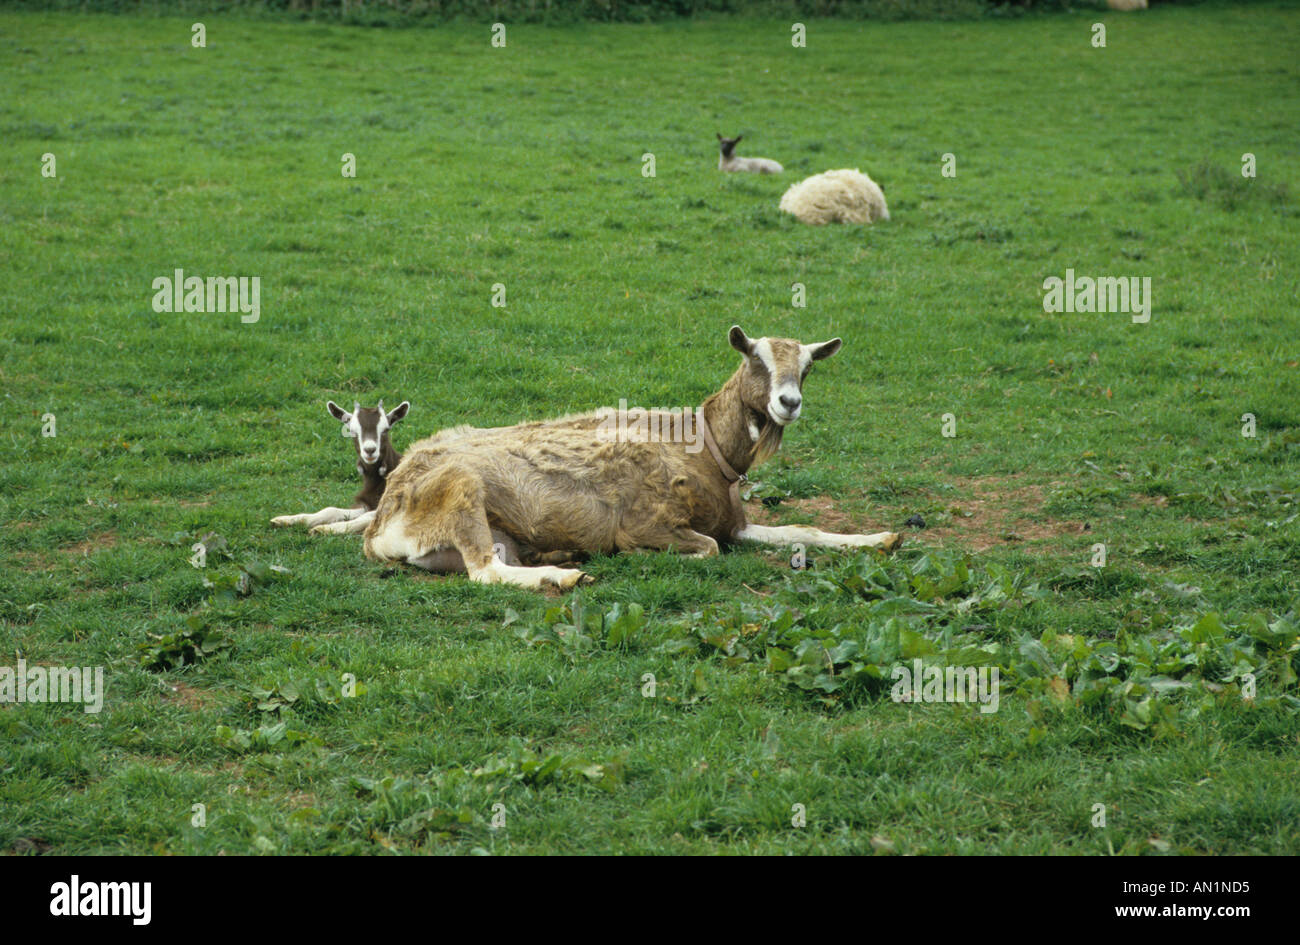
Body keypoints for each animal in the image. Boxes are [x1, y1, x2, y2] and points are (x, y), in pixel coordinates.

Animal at [362, 326, 902, 591]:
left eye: (808, 367)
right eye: (755, 360)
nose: (788, 403)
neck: (703, 448)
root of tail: (379, 528)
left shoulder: (736, 526)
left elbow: (803, 531)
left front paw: (880, 539)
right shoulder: (650, 522)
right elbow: (706, 549)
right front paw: (635, 556)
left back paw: (558, 559)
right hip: (460, 491)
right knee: (484, 572)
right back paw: (569, 576)